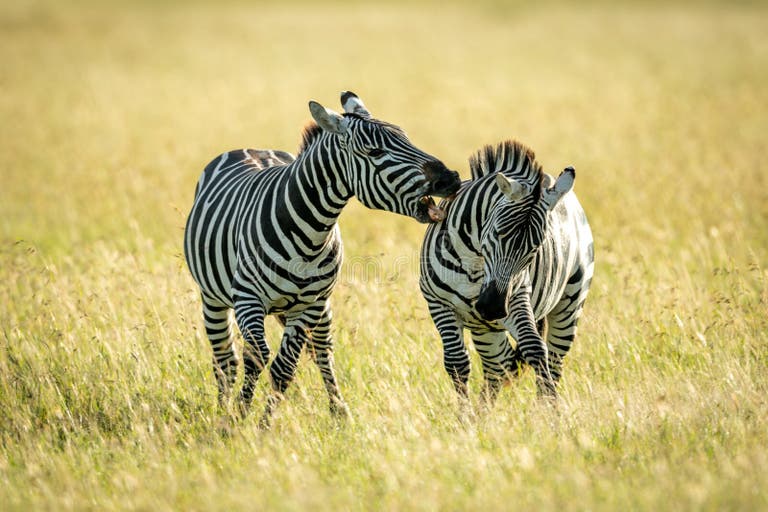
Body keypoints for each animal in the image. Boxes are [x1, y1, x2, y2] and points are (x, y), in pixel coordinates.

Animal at [184, 91, 461, 426]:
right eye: (375, 151)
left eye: (407, 138)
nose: (451, 179)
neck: (310, 230)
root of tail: (252, 148)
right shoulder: (248, 298)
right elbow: (257, 357)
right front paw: (237, 418)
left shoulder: (310, 304)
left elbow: (284, 367)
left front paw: (264, 424)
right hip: (213, 298)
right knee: (226, 360)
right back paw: (224, 409)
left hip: (318, 308)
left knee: (321, 352)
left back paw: (339, 411)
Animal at [419, 140, 594, 409]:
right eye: (498, 233)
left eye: (535, 247)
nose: (491, 307)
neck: (475, 263)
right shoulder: (437, 302)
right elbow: (457, 362)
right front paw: (464, 416)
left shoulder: (517, 296)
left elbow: (536, 349)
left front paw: (551, 412)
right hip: (485, 328)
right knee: (498, 365)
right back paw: (482, 413)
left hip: (569, 304)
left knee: (550, 359)